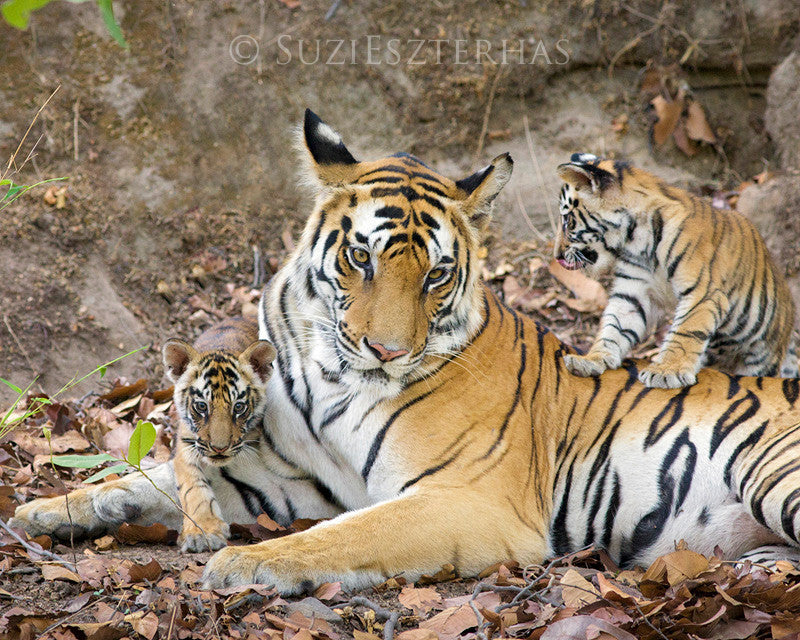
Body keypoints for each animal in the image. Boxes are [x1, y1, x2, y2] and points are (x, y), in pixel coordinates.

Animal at [164, 317, 277, 552]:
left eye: (239, 407)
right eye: (201, 406)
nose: (219, 448)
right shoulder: (186, 443)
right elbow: (193, 488)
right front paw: (202, 531)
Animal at [555, 153, 797, 389]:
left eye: (568, 221)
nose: (557, 256)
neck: (636, 239)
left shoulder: (702, 292)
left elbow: (686, 331)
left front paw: (666, 372)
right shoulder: (633, 293)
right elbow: (614, 326)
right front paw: (591, 360)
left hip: (761, 357)